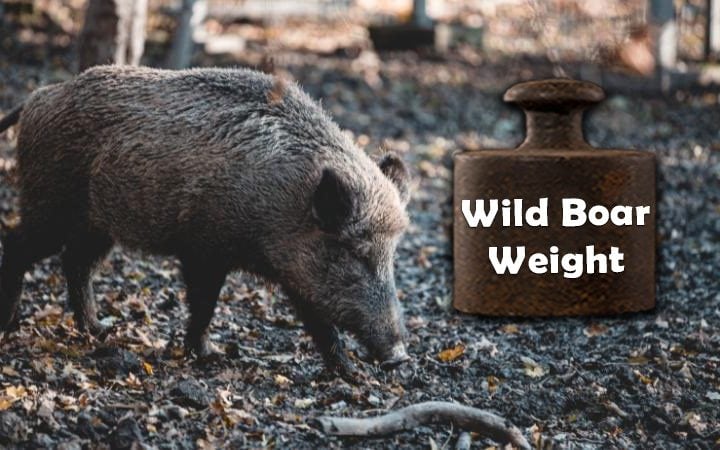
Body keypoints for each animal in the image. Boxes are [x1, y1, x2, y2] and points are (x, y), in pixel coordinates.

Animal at [0, 66, 411, 379]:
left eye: (391, 256)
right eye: (355, 253)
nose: (399, 356)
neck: (286, 203)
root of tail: (40, 95)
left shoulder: (296, 272)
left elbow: (318, 322)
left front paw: (351, 375)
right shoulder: (204, 248)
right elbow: (204, 303)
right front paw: (210, 354)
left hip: (97, 224)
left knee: (76, 263)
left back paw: (100, 331)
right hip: (51, 203)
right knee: (18, 245)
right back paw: (10, 325)